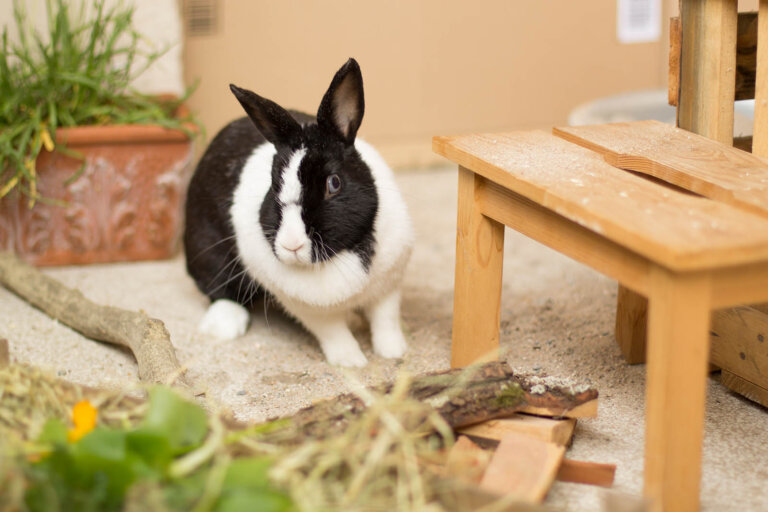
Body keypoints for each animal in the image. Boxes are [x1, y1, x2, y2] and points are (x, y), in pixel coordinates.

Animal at [183, 58, 413, 367]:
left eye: (334, 183)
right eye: (273, 185)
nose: (291, 245)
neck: (343, 254)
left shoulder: (388, 288)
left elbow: (385, 320)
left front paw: (393, 351)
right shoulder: (312, 312)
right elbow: (335, 334)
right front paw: (352, 362)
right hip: (206, 249)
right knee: (219, 290)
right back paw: (224, 326)